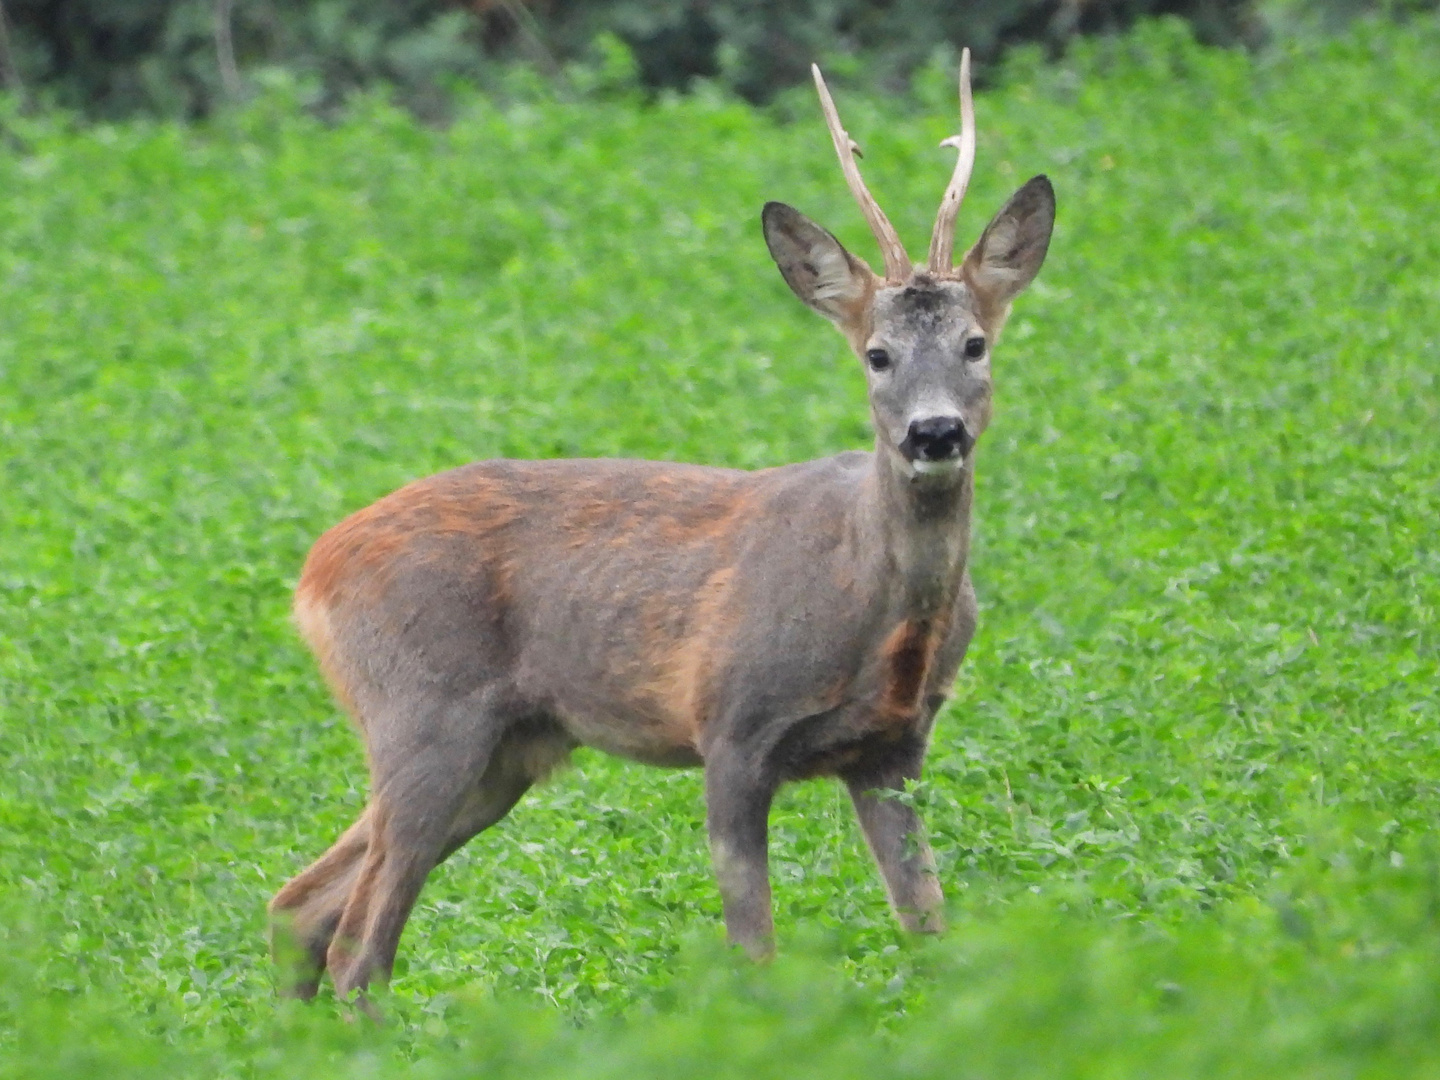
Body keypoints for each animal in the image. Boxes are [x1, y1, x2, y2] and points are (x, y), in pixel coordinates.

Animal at [272, 48, 1059, 996]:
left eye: (976, 344)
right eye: (878, 354)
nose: (933, 432)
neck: (867, 603)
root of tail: (313, 572)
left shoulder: (893, 749)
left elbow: (928, 926)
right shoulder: (731, 726)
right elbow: (753, 943)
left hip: (505, 752)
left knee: (300, 905)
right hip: (424, 714)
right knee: (358, 945)